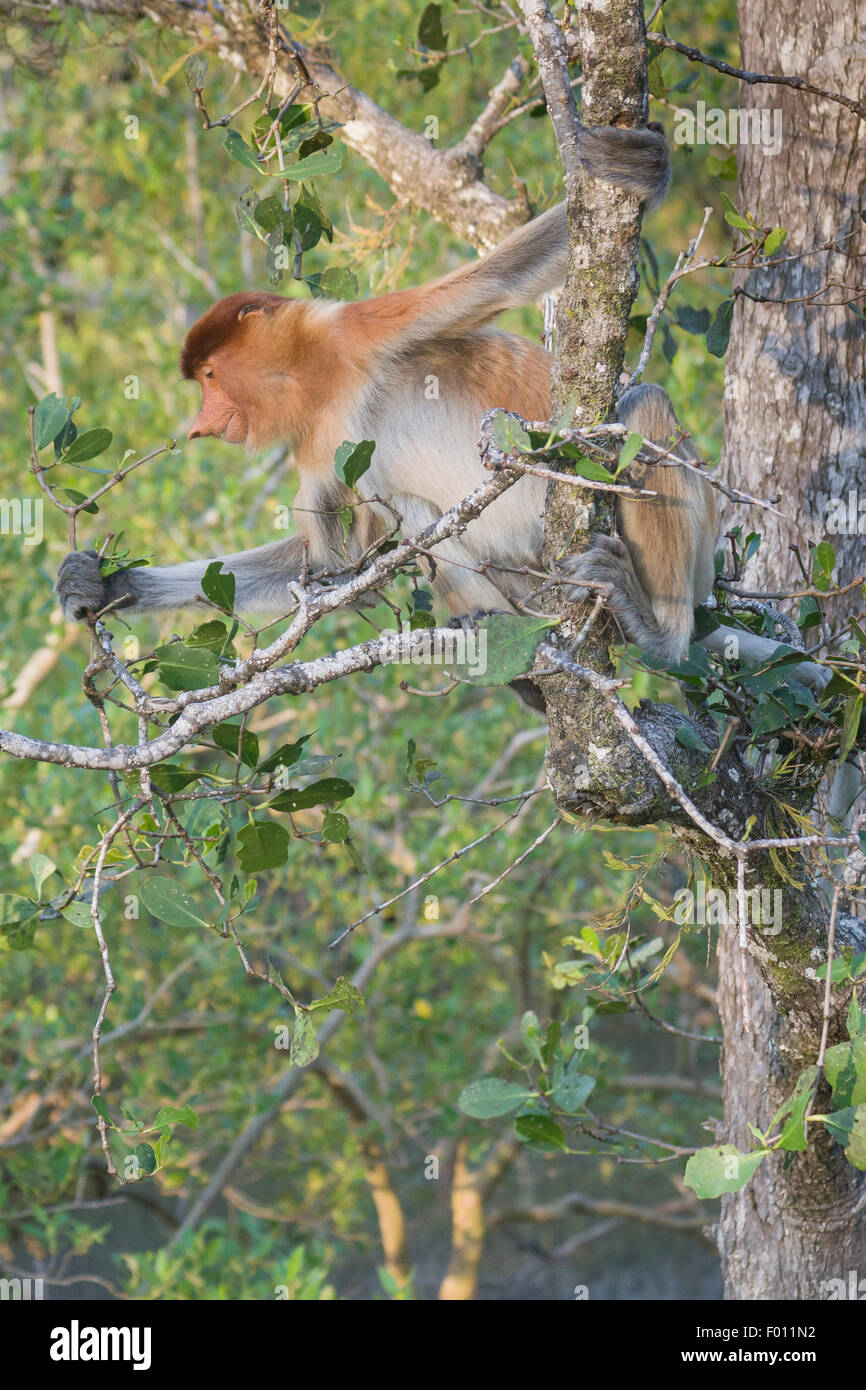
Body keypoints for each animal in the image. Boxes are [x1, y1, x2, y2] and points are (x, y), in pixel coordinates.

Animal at [55, 121, 825, 691]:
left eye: (211, 375)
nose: (201, 422)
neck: (318, 380)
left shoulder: (360, 334)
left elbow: (502, 279)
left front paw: (640, 169)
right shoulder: (316, 443)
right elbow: (330, 566)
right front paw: (103, 582)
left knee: (642, 406)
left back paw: (657, 628)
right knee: (420, 518)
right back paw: (492, 637)